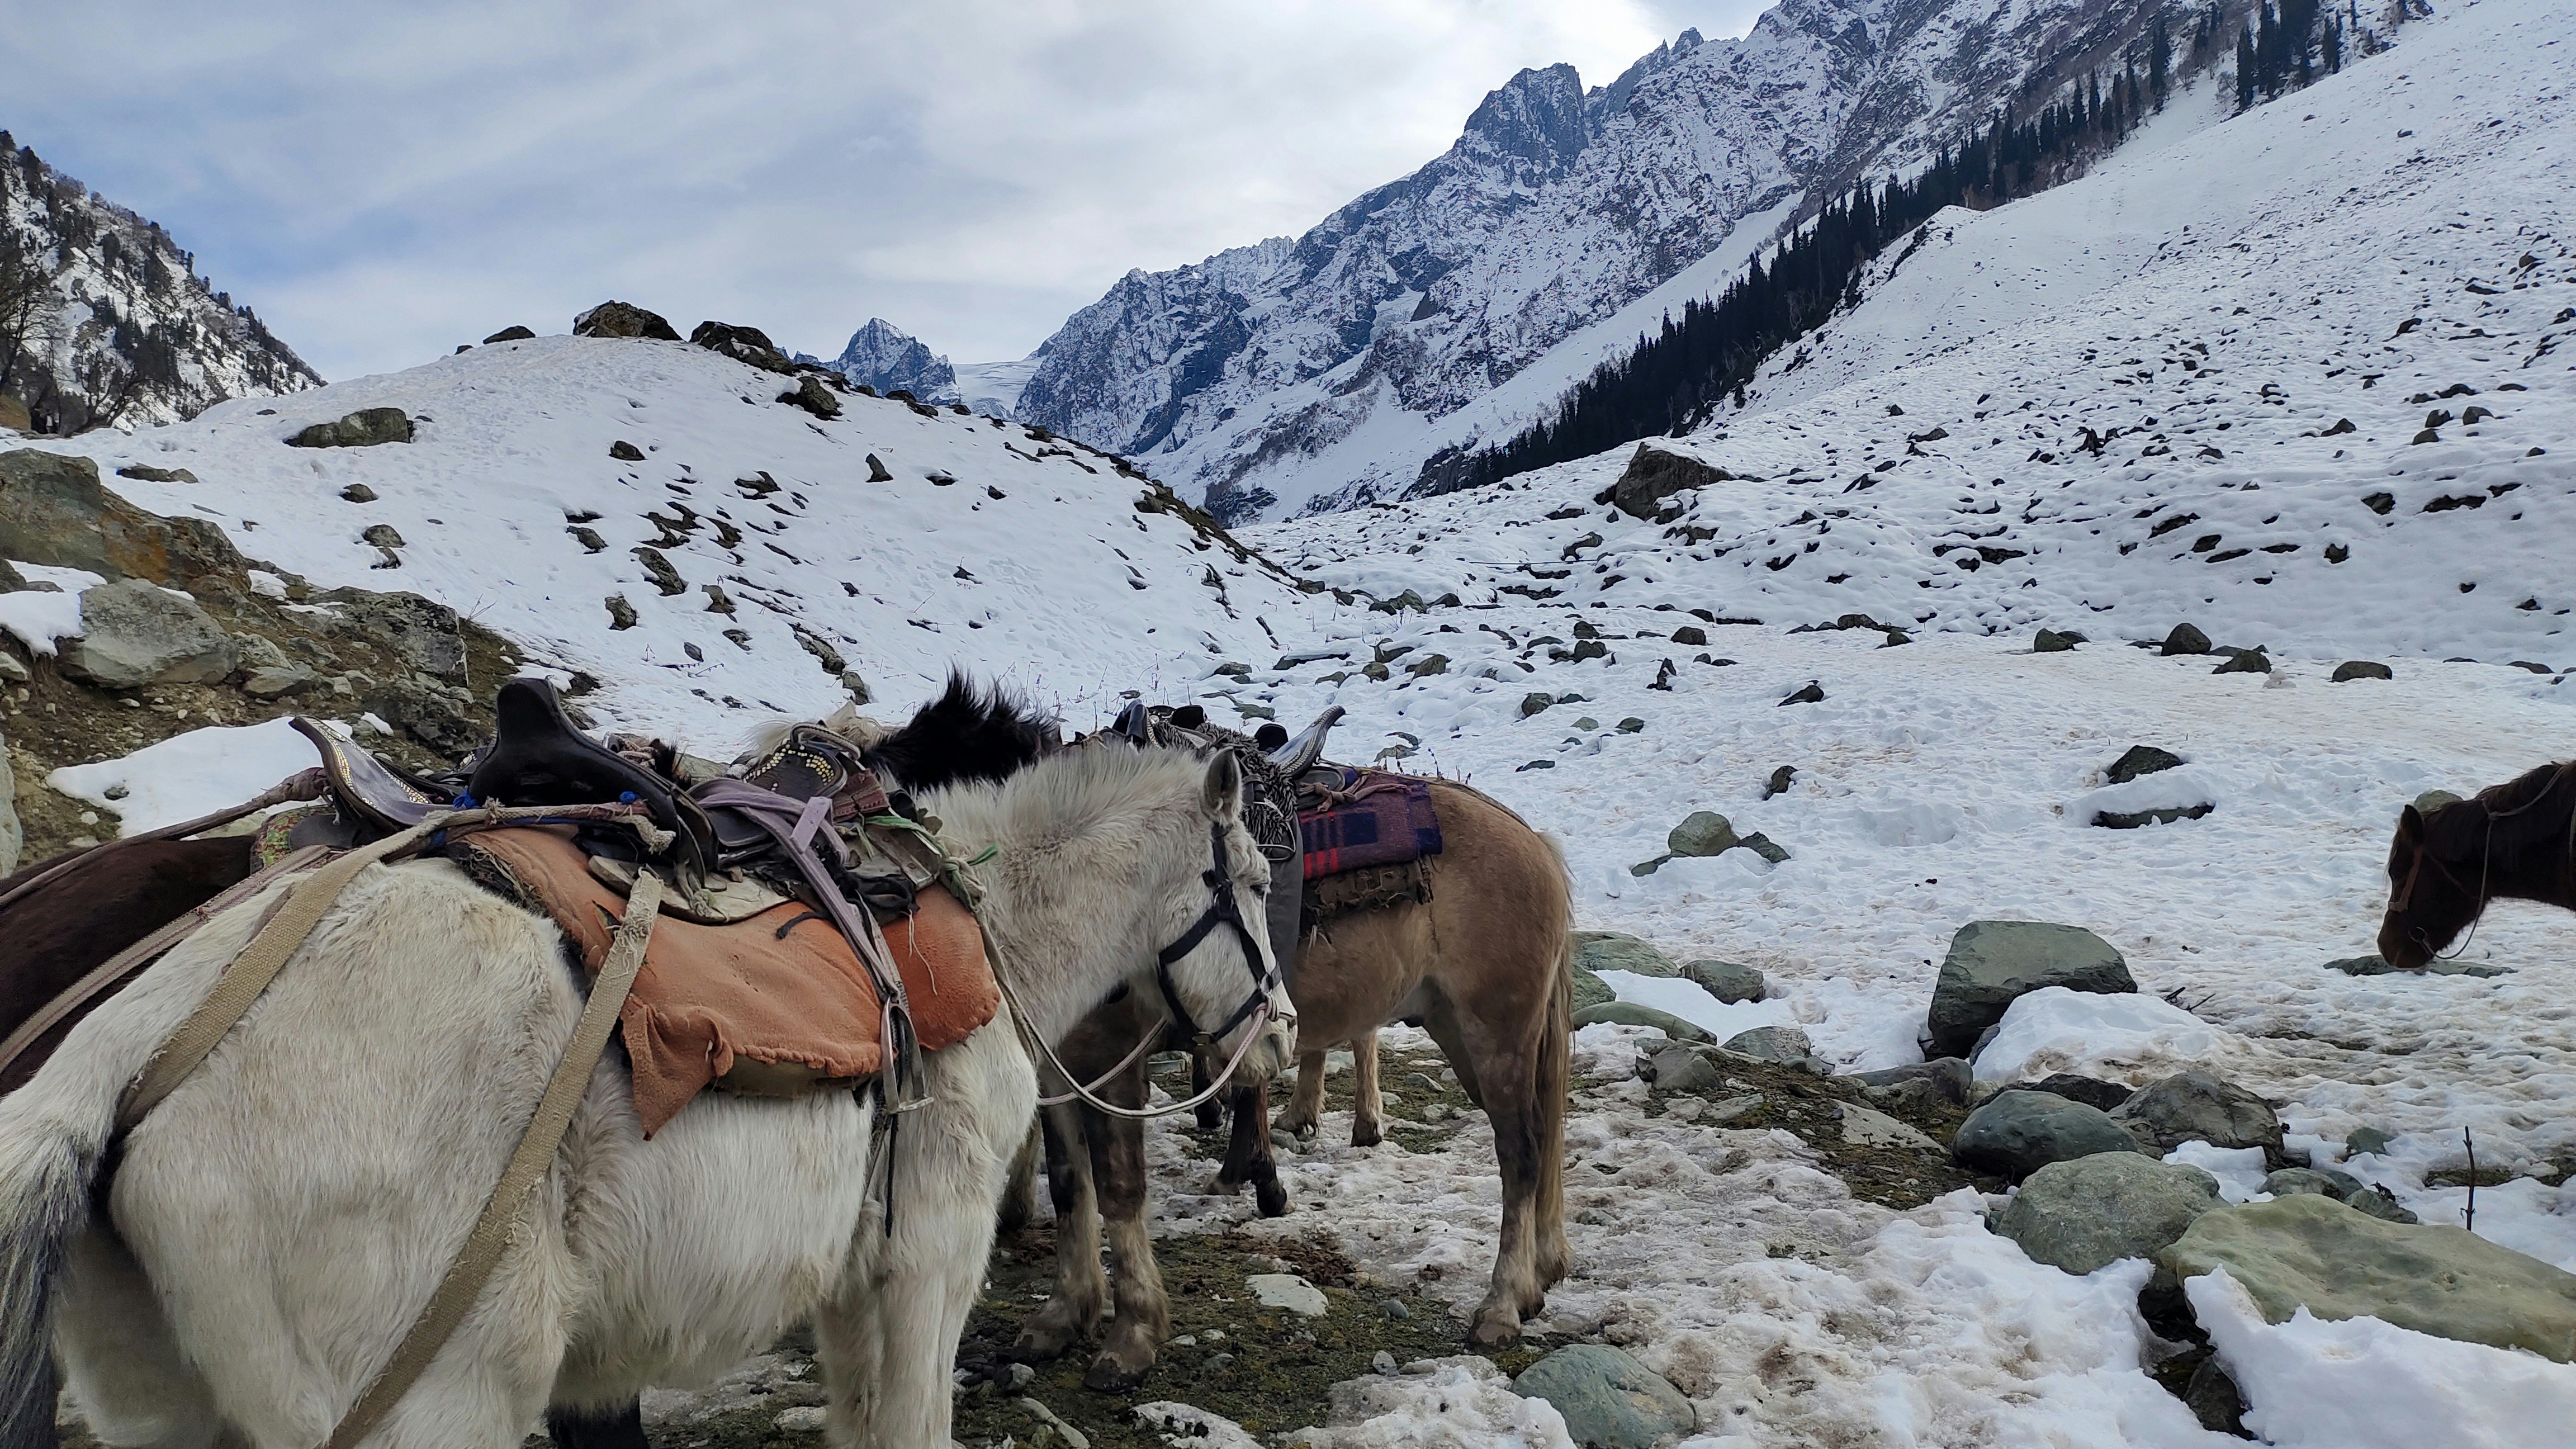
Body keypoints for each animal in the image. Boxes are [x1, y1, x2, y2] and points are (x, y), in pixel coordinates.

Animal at [0, 737, 1293, 1449]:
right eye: (1251, 877)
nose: (1276, 1037)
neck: (979, 929)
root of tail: (124, 1053)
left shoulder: (853, 1280)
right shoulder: (933, 1254)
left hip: (172, 1410)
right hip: (435, 1401)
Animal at [1015, 773, 1574, 1391]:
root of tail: (1534, 842)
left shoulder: (1108, 1060)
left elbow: (1117, 1188)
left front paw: (1132, 1335)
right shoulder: (1056, 1068)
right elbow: (1069, 1185)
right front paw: (1063, 1315)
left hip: (1496, 1037)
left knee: (1521, 1154)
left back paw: (1502, 1305)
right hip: (1459, 1030)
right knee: (1542, 1140)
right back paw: (1537, 1281)